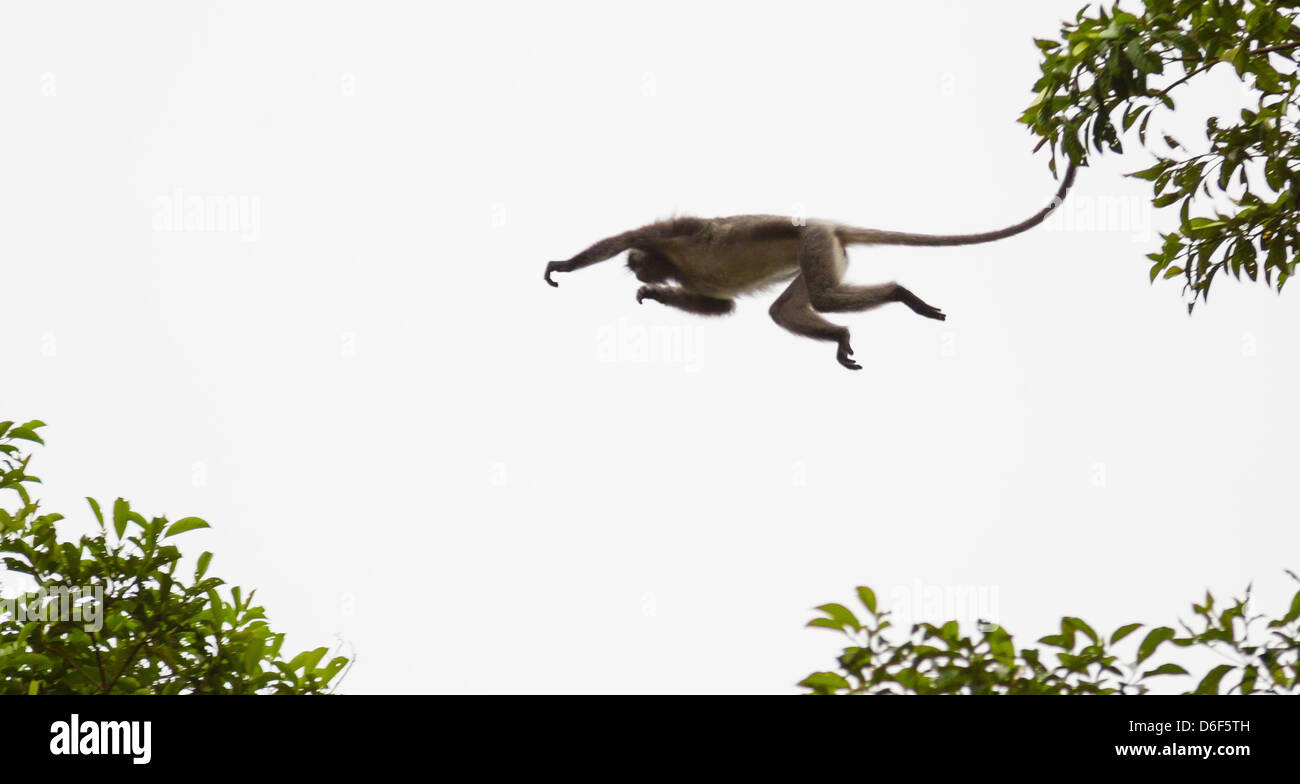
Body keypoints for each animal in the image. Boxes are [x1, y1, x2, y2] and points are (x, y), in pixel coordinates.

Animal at [544, 162, 1077, 370]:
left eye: (635, 264)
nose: (638, 273)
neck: (673, 261)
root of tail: (830, 225)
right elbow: (720, 309)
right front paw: (655, 295)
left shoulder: (671, 230)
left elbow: (627, 237)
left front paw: (563, 266)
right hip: (821, 253)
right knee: (789, 308)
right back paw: (842, 336)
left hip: (813, 242)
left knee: (821, 296)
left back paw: (900, 295)